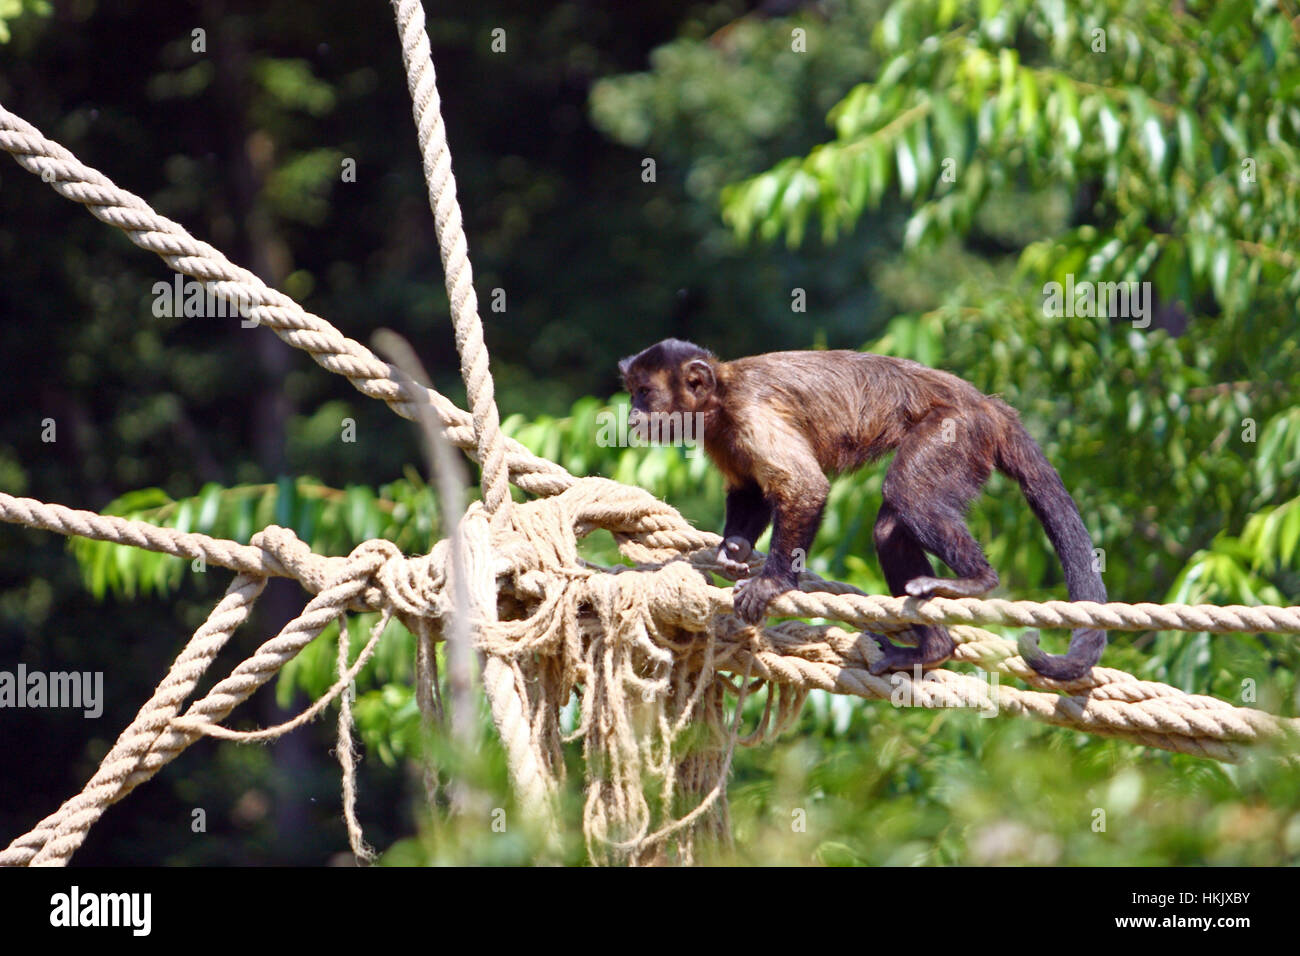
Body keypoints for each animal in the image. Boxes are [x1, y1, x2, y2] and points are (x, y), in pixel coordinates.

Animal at [618, 338, 1107, 681]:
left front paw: (773, 582)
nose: (632, 414)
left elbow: (805, 488)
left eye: (644, 392)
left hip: (958, 429)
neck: (720, 397)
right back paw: (934, 649)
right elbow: (750, 490)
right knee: (891, 527)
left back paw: (977, 580)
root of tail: (987, 403)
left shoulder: (749, 413)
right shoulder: (720, 434)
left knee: (908, 493)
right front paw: (733, 551)